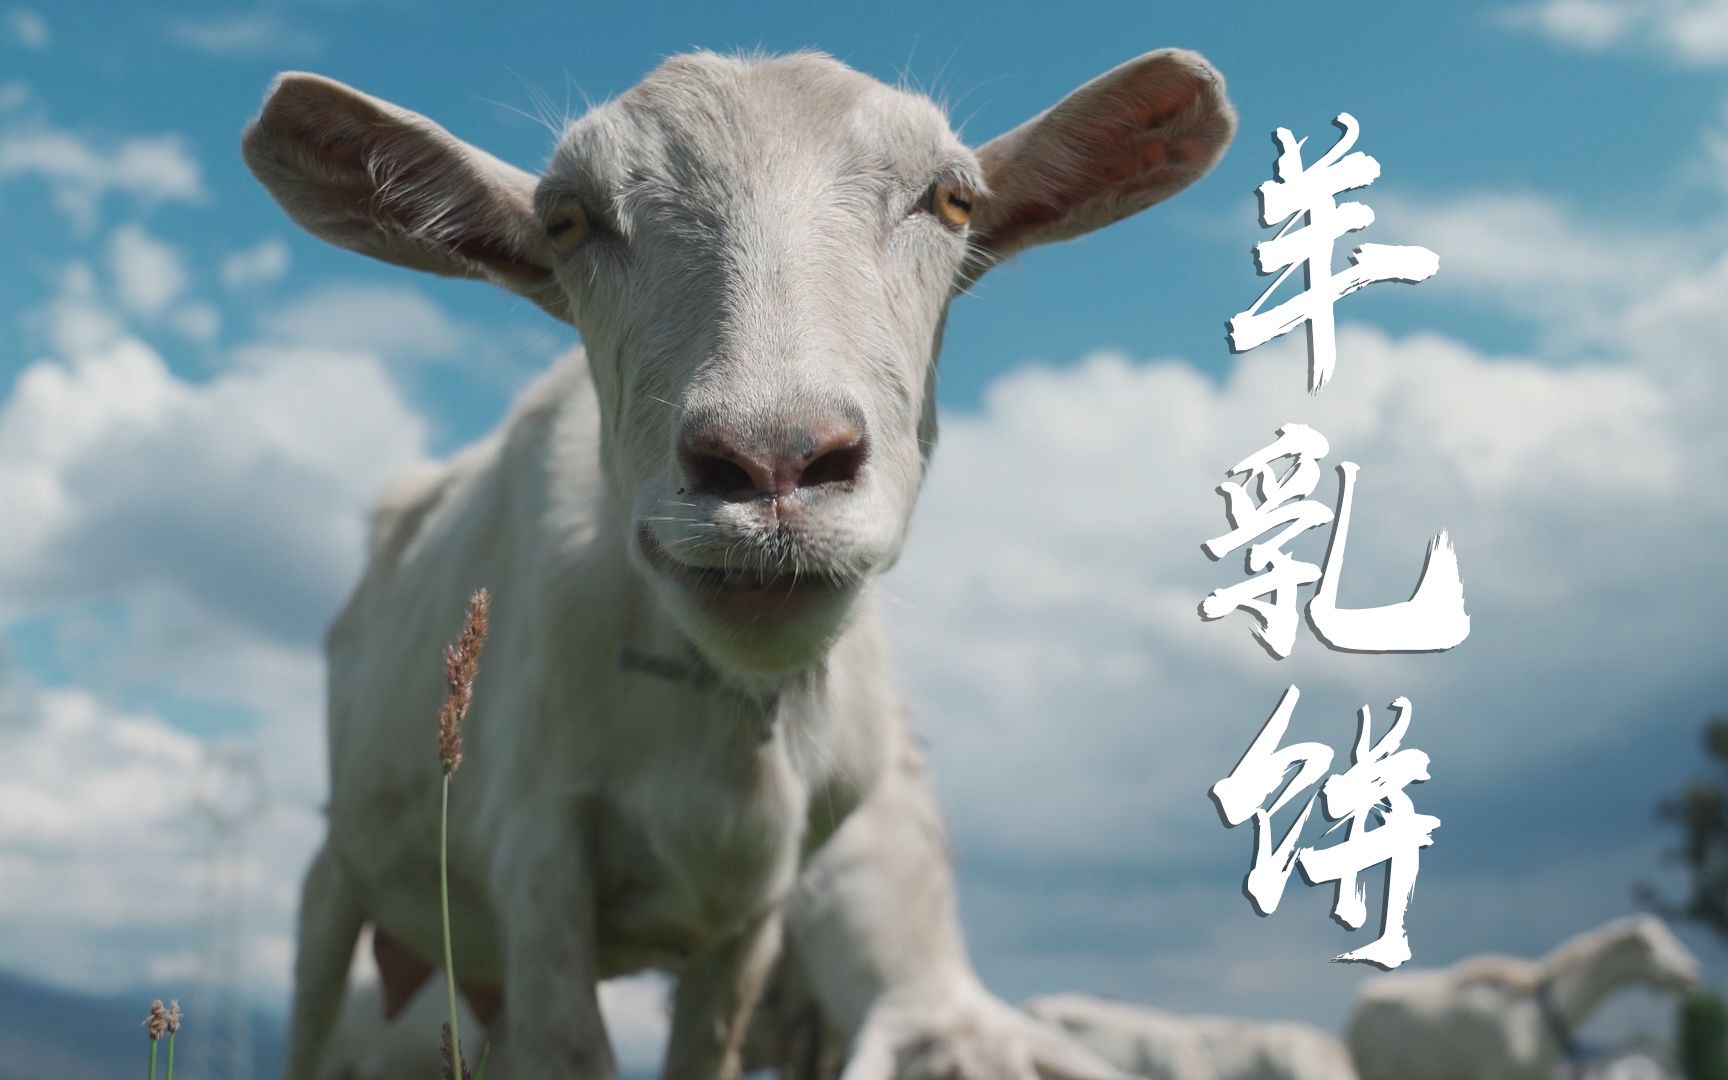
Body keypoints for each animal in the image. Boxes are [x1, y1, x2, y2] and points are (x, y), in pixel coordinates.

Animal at [243, 47, 1235, 1079]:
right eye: (567, 220)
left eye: (954, 200)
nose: (772, 462)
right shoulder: (537, 852)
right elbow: (568, 1048)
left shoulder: (753, 914)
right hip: (337, 875)